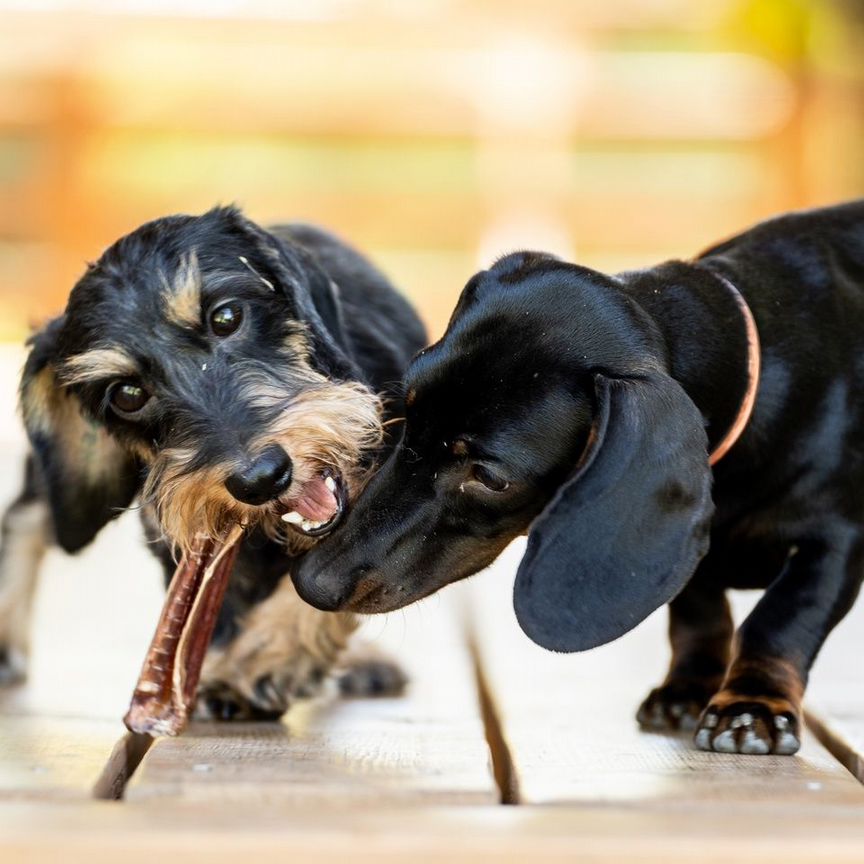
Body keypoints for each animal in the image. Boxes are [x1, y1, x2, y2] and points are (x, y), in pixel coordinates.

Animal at [0, 206, 428, 720]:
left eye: (226, 316)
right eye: (127, 394)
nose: (260, 479)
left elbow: (329, 578)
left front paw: (268, 658)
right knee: (25, 515)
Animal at [296, 199, 864, 752]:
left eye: (490, 477)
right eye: (408, 412)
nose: (311, 583)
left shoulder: (836, 542)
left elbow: (781, 619)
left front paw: (750, 706)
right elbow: (698, 612)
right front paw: (687, 688)